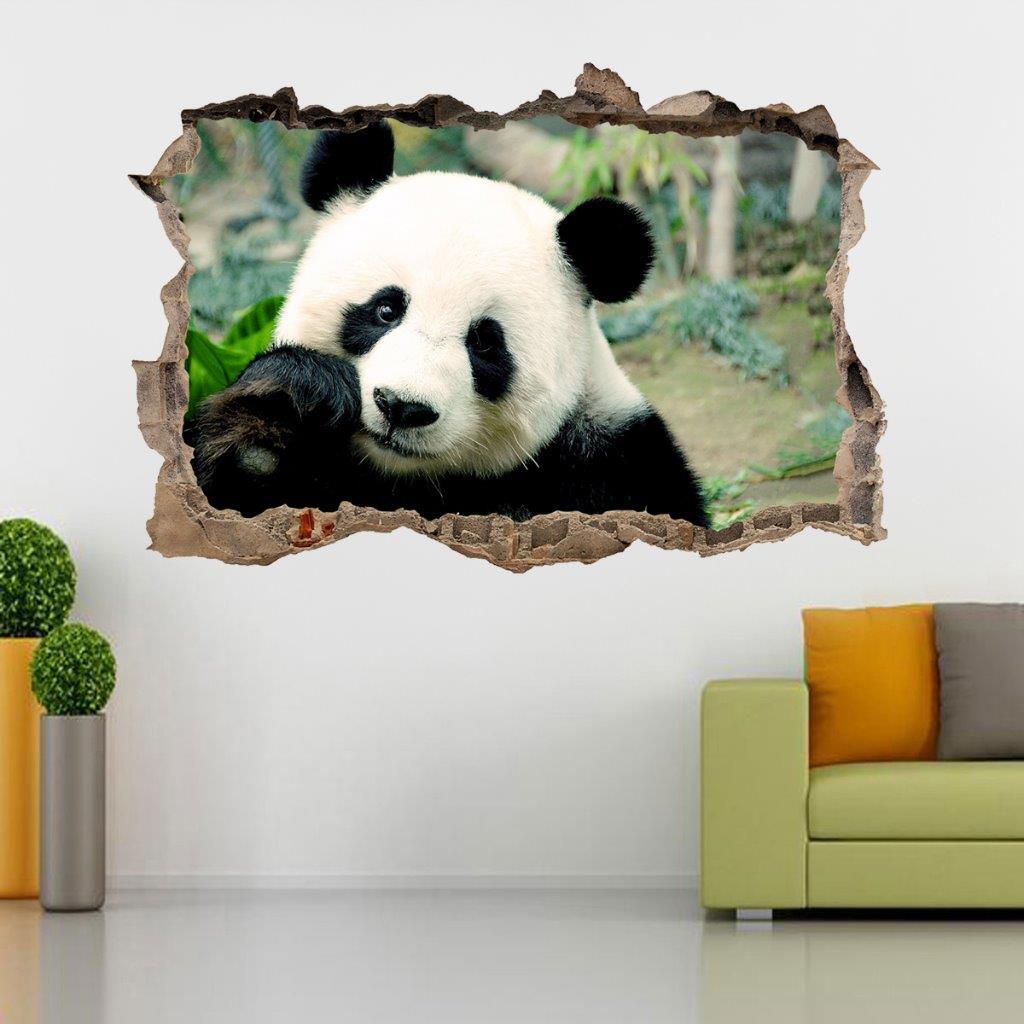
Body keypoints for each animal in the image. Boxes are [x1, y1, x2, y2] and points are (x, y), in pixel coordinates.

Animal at [190, 122, 708, 527]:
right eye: (386, 310)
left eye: (484, 343)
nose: (403, 407)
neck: (403, 478)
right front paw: (288, 406)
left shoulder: (613, 462)